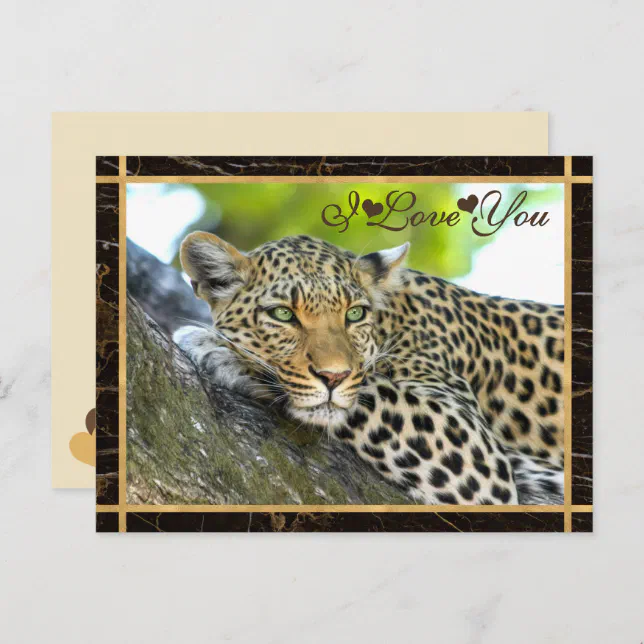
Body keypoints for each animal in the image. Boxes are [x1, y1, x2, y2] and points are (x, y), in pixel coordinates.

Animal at [173, 232, 564, 505]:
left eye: (355, 314)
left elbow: (368, 390)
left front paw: (219, 350)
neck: (393, 320)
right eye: (283, 314)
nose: (333, 377)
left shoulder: (473, 447)